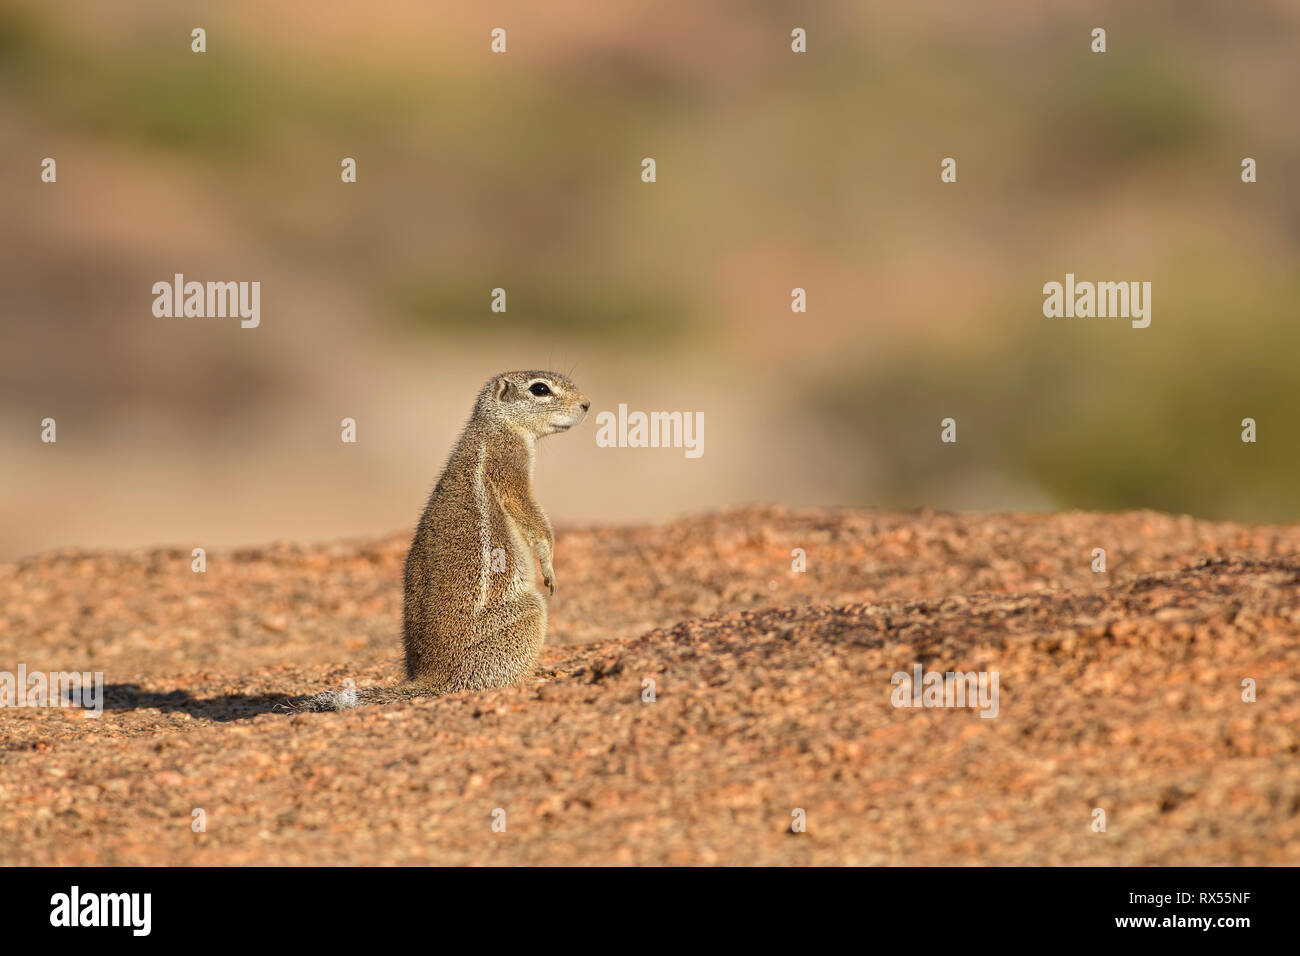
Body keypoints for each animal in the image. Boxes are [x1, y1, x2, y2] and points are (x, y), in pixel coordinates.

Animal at [296, 370, 589, 711]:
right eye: (540, 389)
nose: (586, 404)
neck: (493, 427)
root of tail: (432, 678)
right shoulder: (510, 465)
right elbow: (534, 520)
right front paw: (550, 569)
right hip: (531, 610)